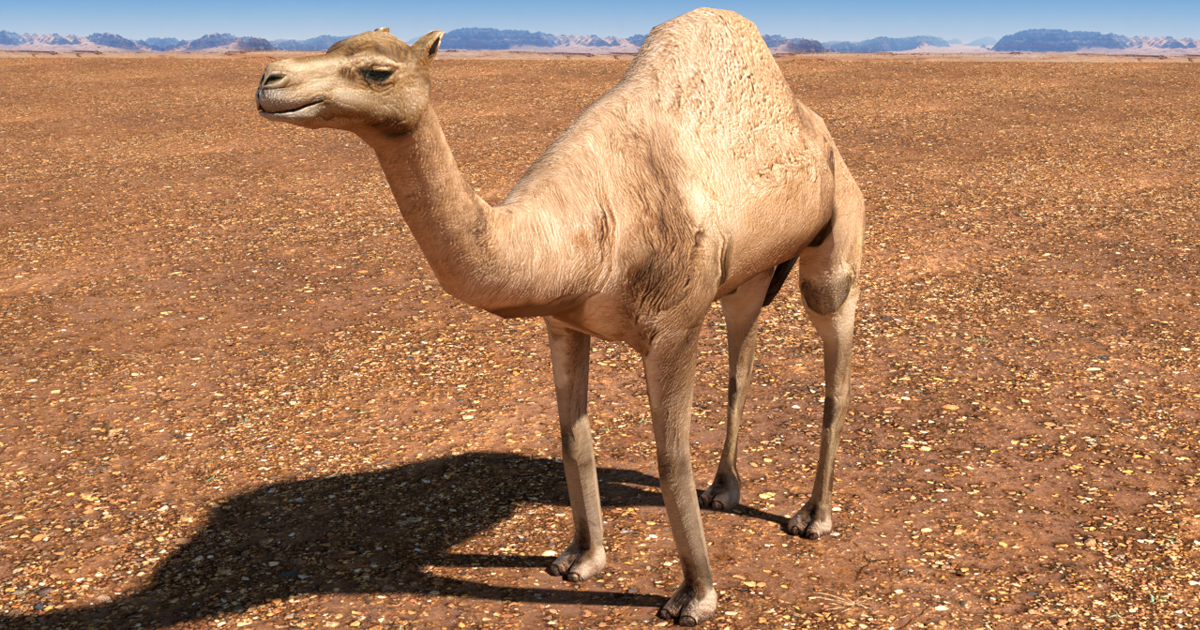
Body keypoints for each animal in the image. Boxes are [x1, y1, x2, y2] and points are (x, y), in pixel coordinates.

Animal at [255, 8, 864, 625]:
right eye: (333, 43)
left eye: (377, 70)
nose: (270, 78)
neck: (586, 230)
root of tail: (821, 132)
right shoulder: (565, 324)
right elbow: (574, 437)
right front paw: (580, 559)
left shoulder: (672, 328)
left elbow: (670, 458)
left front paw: (695, 597)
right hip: (747, 276)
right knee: (742, 359)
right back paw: (722, 491)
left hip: (836, 239)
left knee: (834, 361)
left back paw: (812, 517)